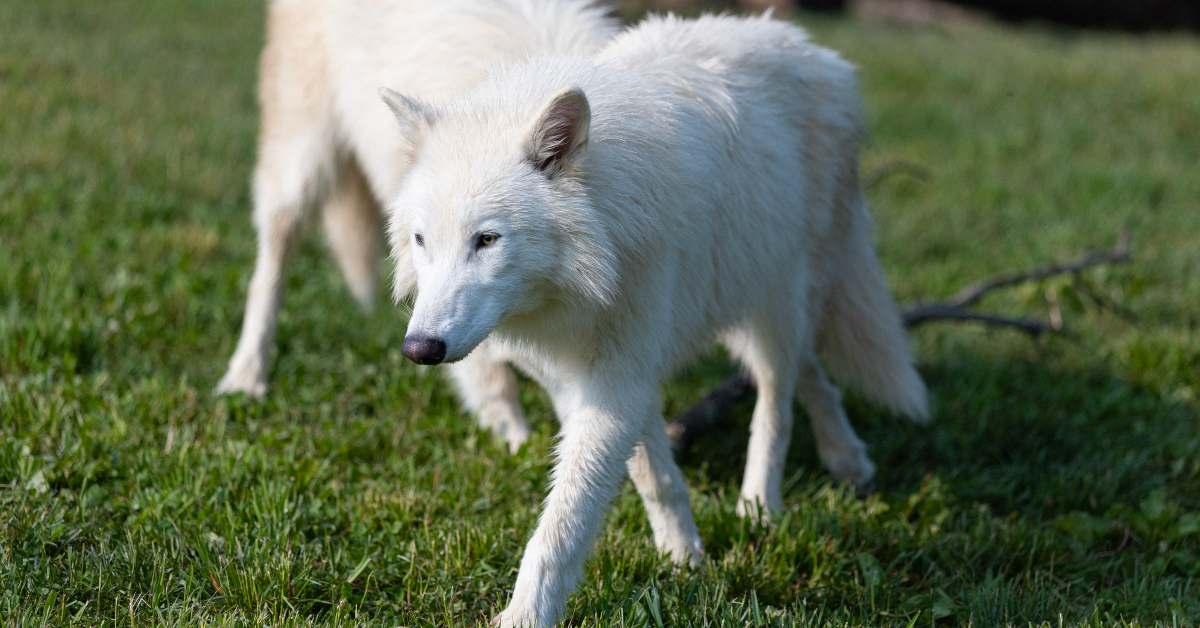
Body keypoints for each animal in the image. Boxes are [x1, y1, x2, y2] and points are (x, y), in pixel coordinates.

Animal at [216, 0, 616, 452]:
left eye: (488, 239)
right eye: (421, 238)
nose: (419, 350)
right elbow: (497, 373)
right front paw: (511, 436)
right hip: (300, 164)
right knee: (269, 269)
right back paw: (246, 377)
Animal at [383, 13, 930, 626]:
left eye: (486, 240)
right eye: (422, 241)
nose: (420, 348)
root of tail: (808, 46)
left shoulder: (622, 374)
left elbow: (562, 524)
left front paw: (526, 615)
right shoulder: (596, 378)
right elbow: (653, 474)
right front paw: (683, 555)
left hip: (773, 304)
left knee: (777, 399)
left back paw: (759, 506)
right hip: (735, 304)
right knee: (813, 374)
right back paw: (847, 459)